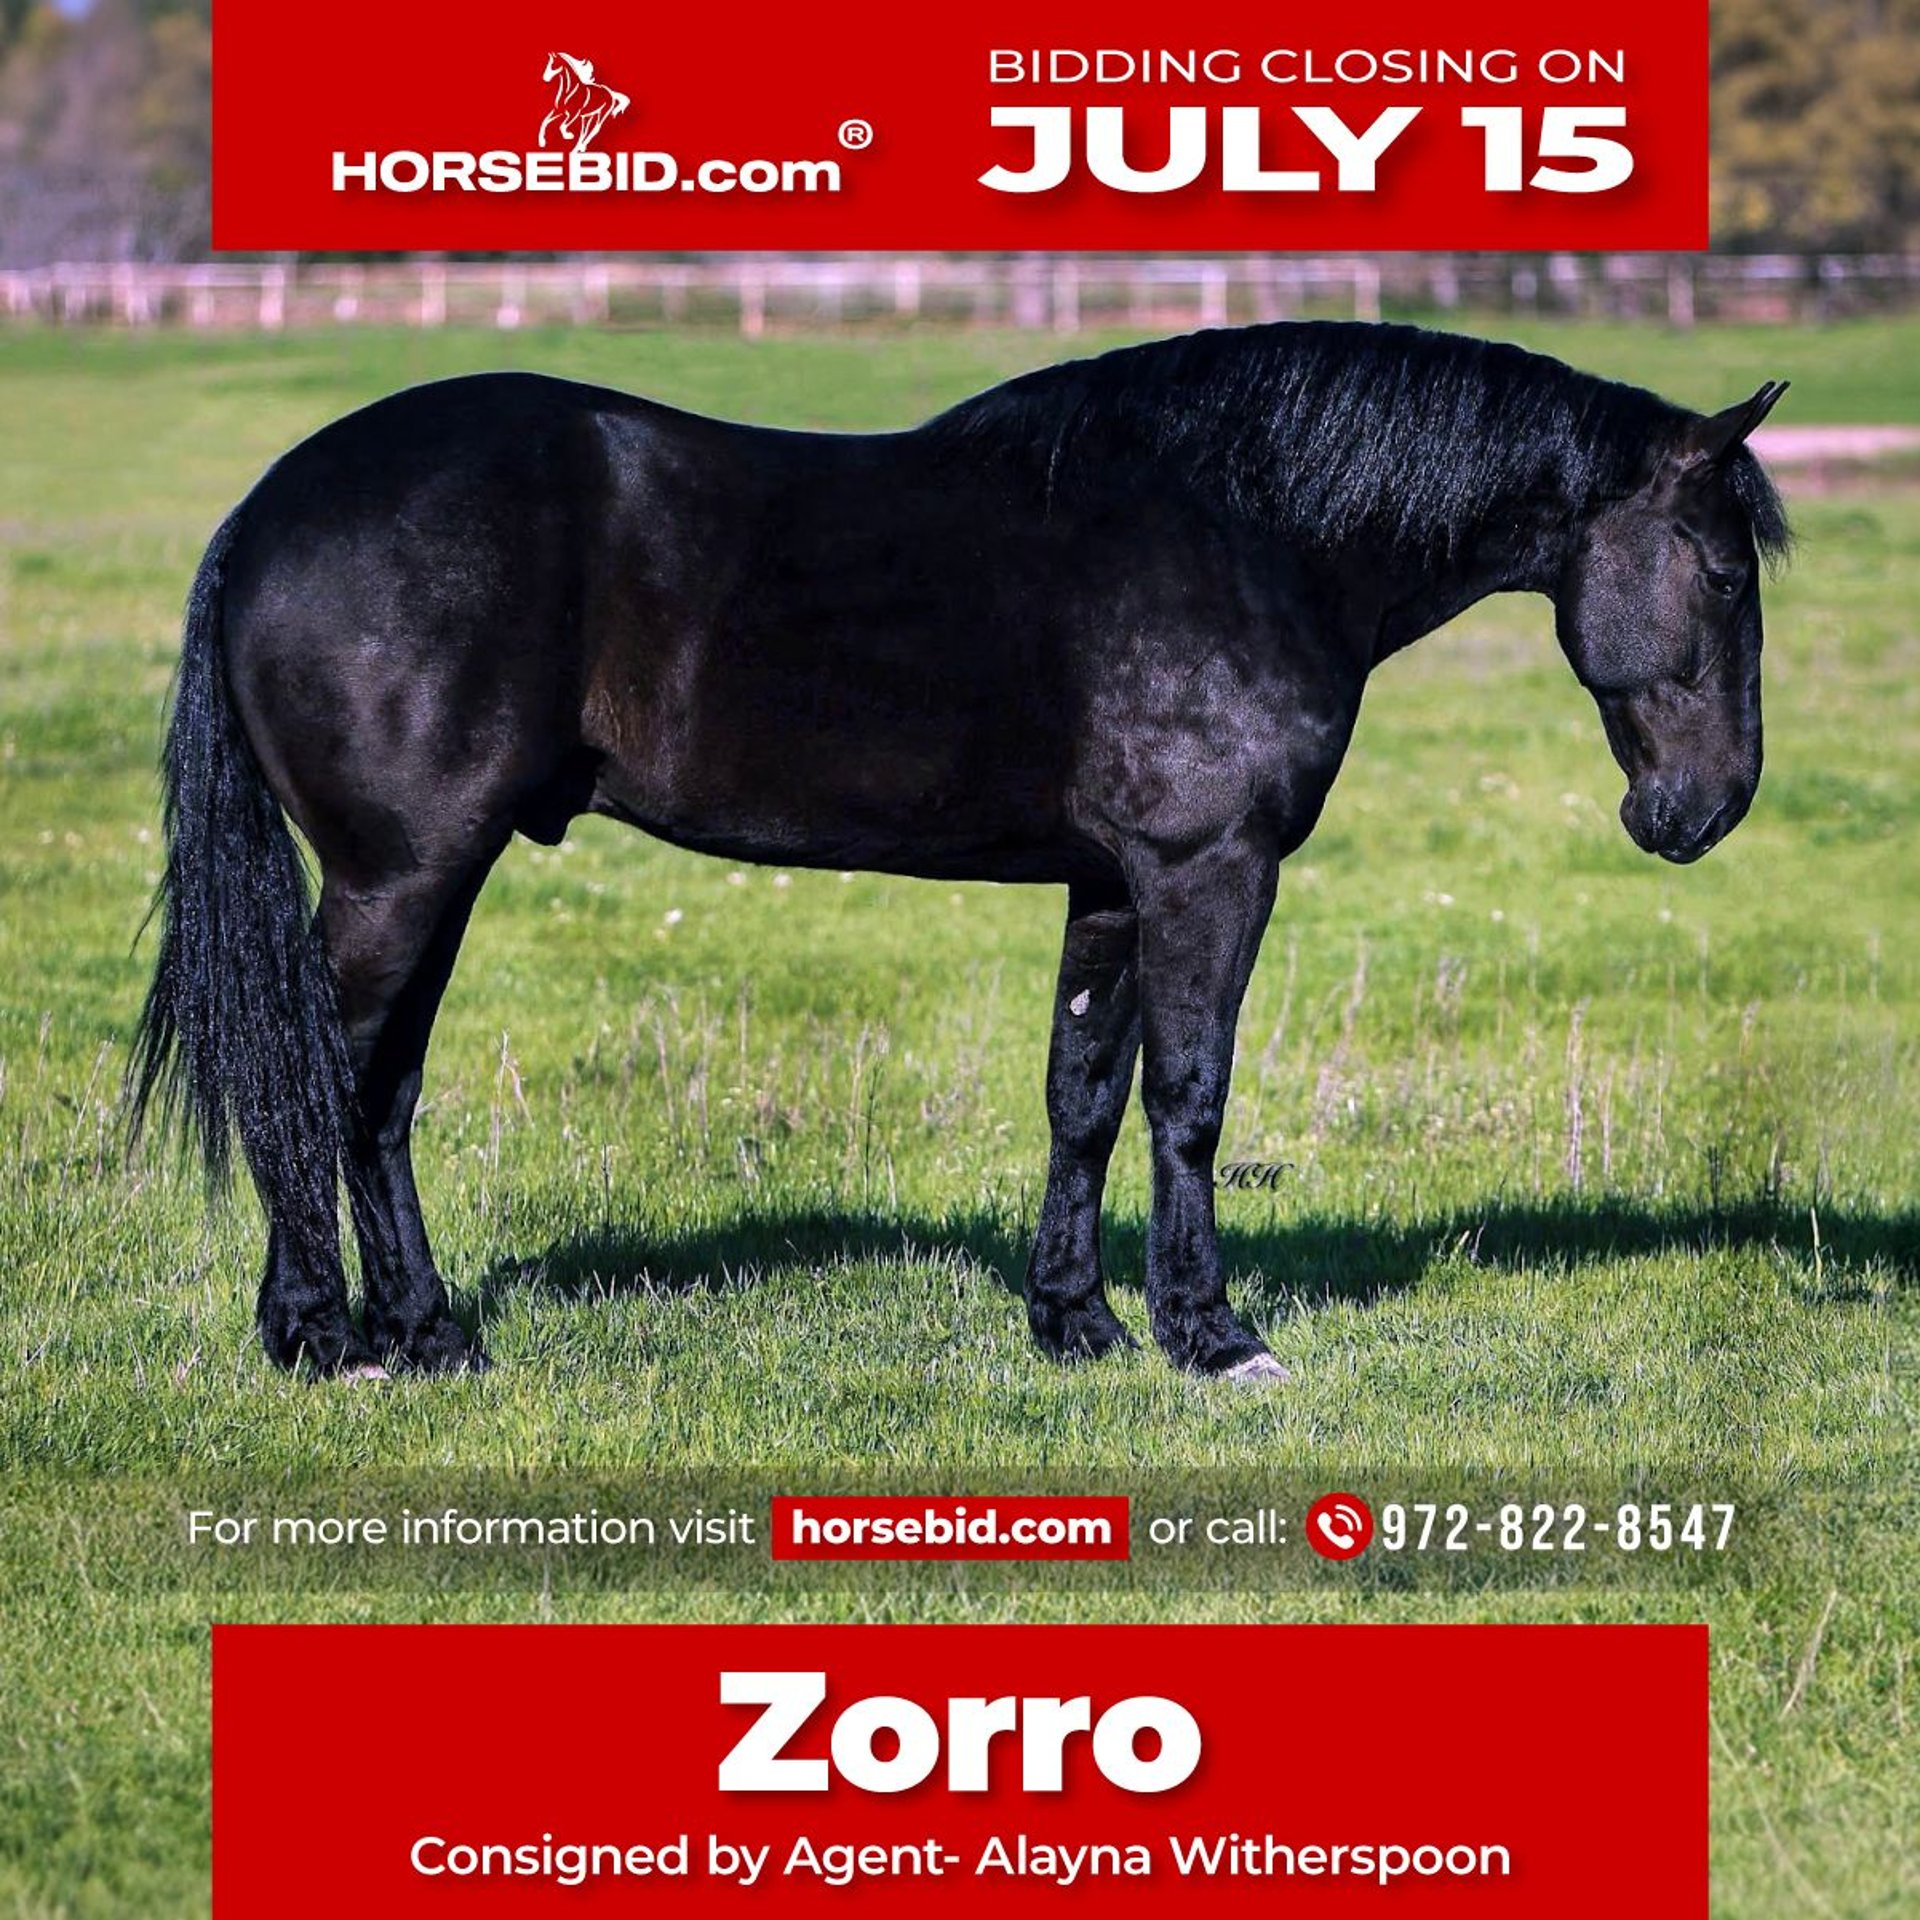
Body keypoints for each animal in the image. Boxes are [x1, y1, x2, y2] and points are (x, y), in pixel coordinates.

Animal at [129, 322, 1789, 1381]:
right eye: (1719, 571)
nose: (1702, 812)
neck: (1248, 531)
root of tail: (269, 511)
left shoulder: (1113, 885)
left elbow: (1084, 1096)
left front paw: (1078, 1325)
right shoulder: (1210, 869)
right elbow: (1189, 1100)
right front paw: (1212, 1338)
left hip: (426, 879)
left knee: (379, 1097)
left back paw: (425, 1334)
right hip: (402, 878)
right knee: (323, 1082)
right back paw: (325, 1341)